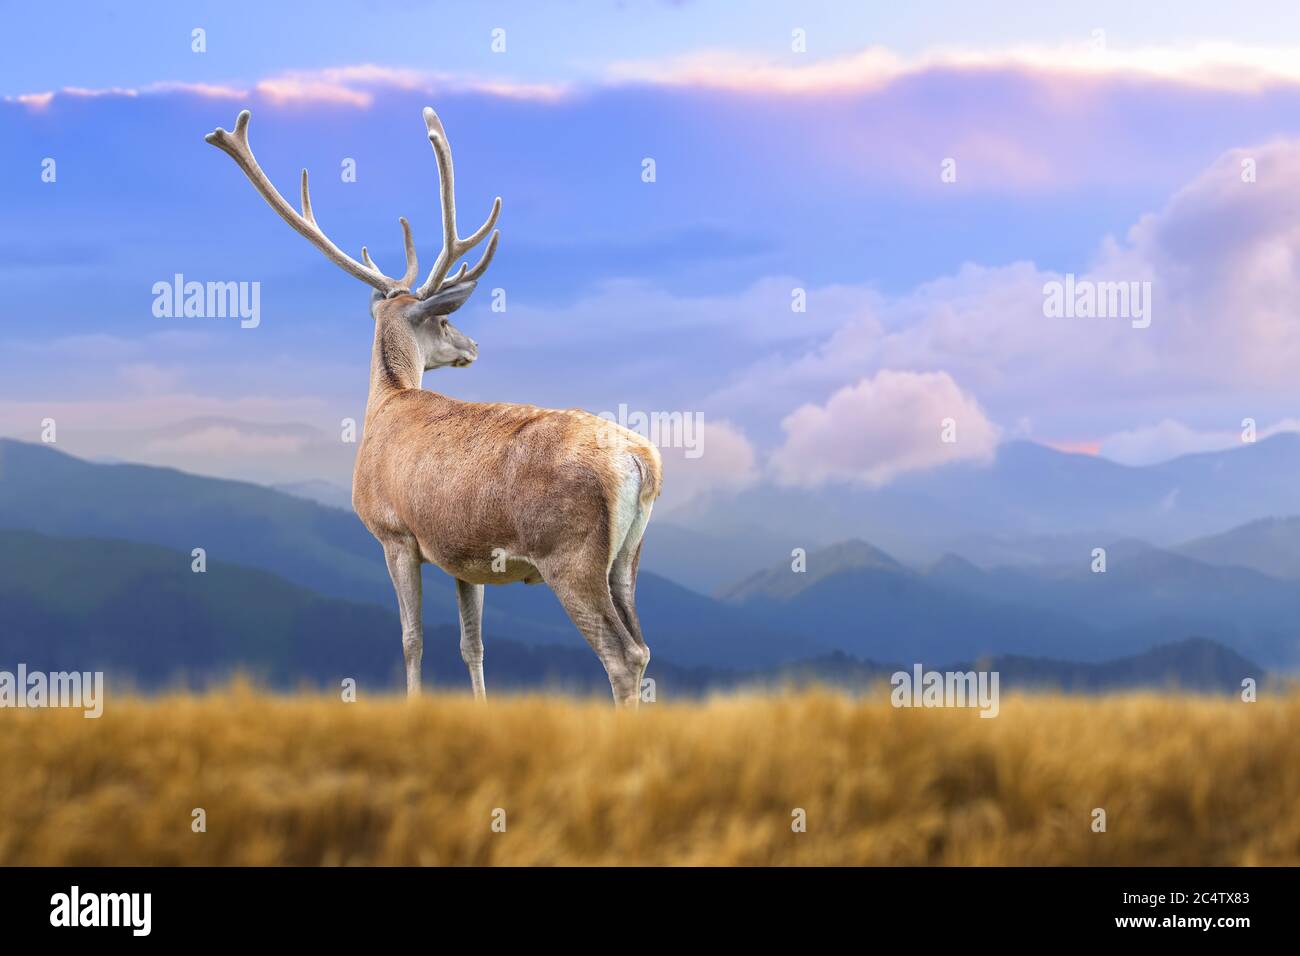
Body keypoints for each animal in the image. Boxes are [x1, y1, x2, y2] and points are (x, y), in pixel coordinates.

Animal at [205, 107, 661, 706]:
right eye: (444, 322)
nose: (473, 346)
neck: (386, 402)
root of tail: (640, 462)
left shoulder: (394, 532)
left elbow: (411, 638)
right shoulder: (463, 555)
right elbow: (472, 644)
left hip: (571, 554)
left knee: (623, 655)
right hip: (628, 557)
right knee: (645, 646)